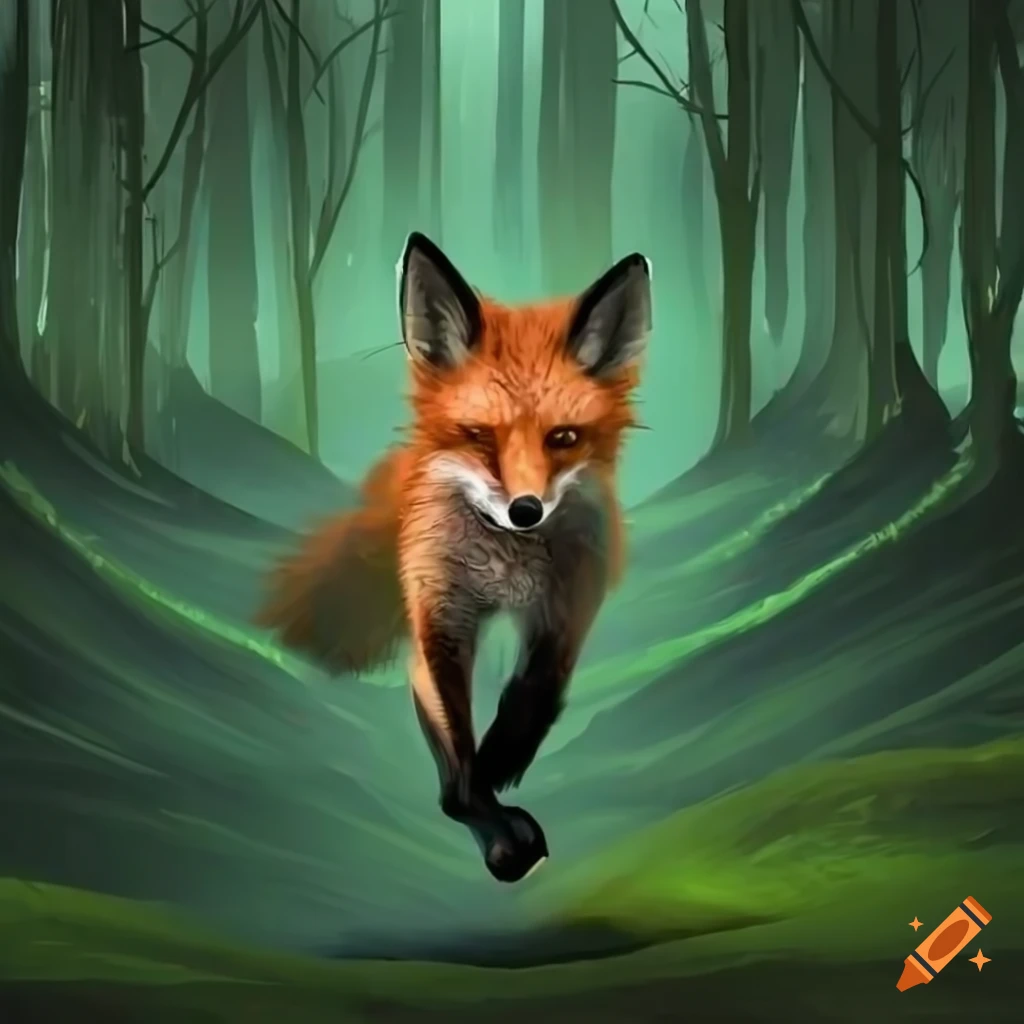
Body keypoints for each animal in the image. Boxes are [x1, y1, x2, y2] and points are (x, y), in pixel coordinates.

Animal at [257, 232, 651, 883]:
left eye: (563, 438)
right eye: (479, 436)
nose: (526, 510)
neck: (506, 565)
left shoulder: (571, 603)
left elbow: (536, 690)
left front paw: (502, 758)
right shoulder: (437, 624)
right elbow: (457, 782)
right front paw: (501, 833)